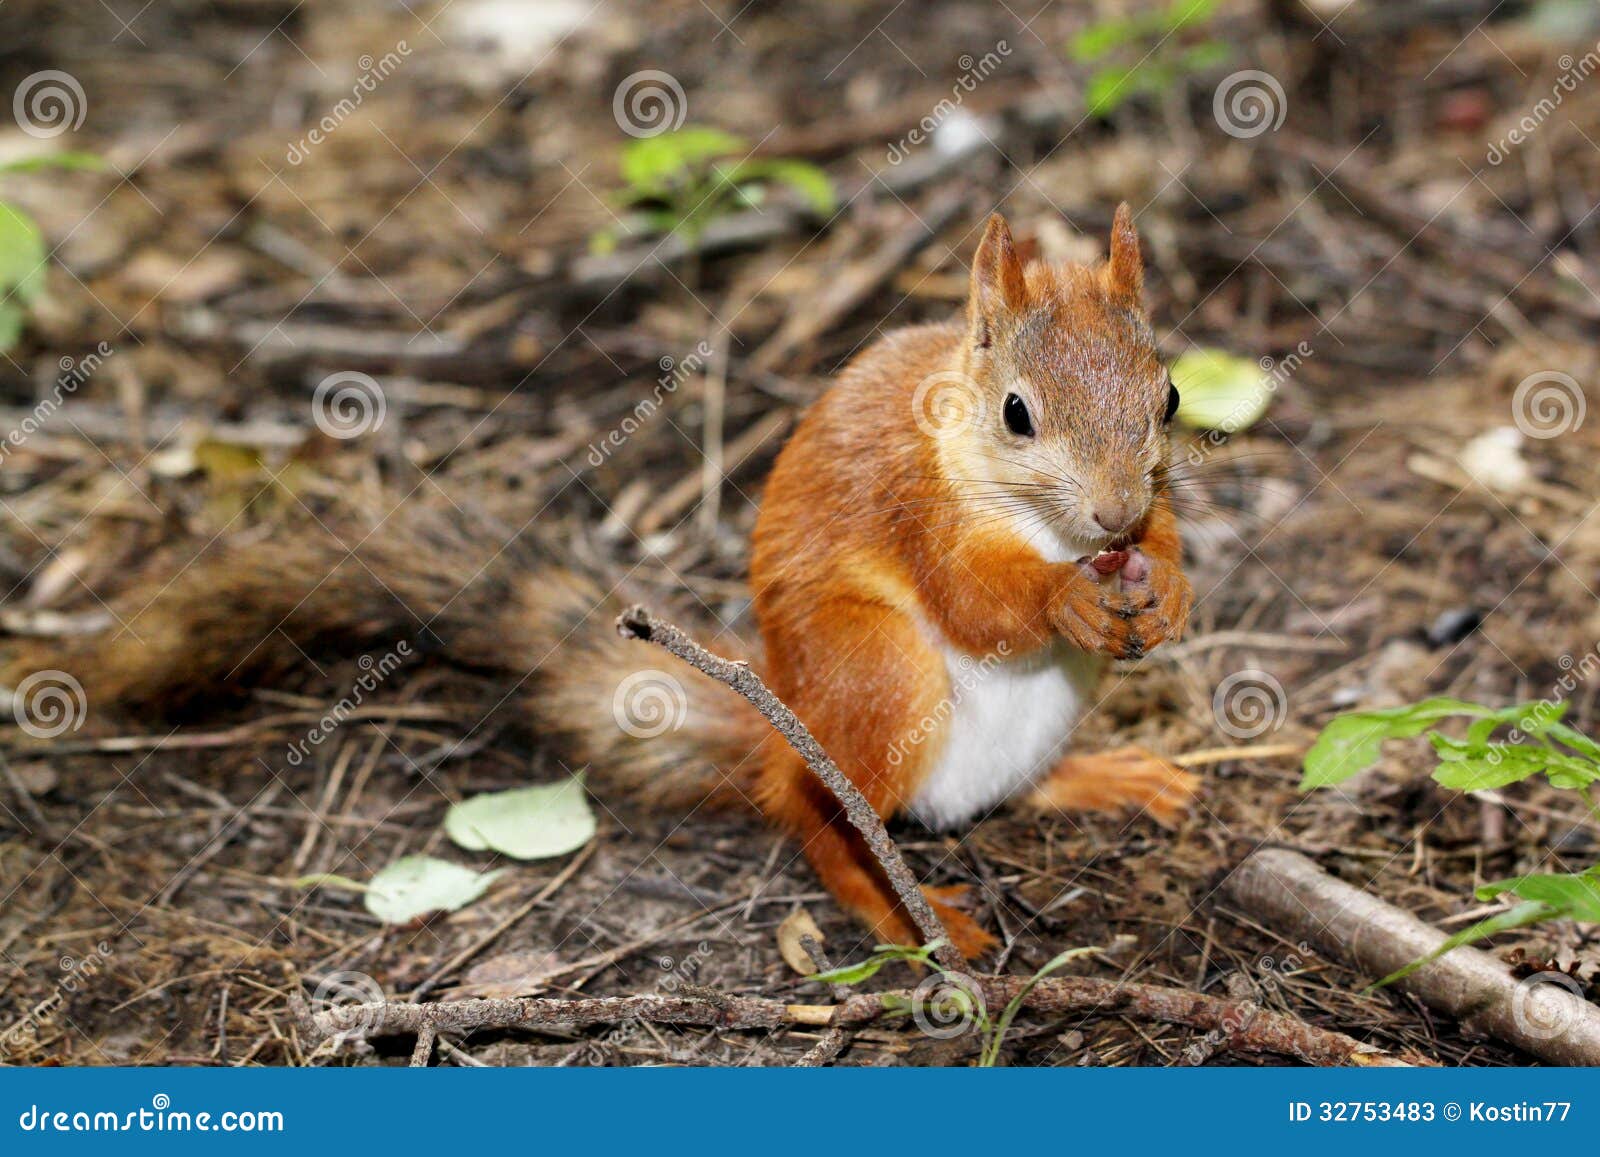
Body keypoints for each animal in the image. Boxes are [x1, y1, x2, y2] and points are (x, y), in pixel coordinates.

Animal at [2, 204, 1195, 959]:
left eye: (1172, 396)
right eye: (1017, 414)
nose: (1112, 517)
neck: (1038, 521)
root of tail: (780, 722)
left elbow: (1165, 540)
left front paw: (1169, 584)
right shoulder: (915, 504)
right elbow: (974, 598)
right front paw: (1064, 599)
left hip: (1034, 714)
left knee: (997, 787)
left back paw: (1104, 775)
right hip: (878, 677)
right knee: (811, 813)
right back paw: (897, 908)